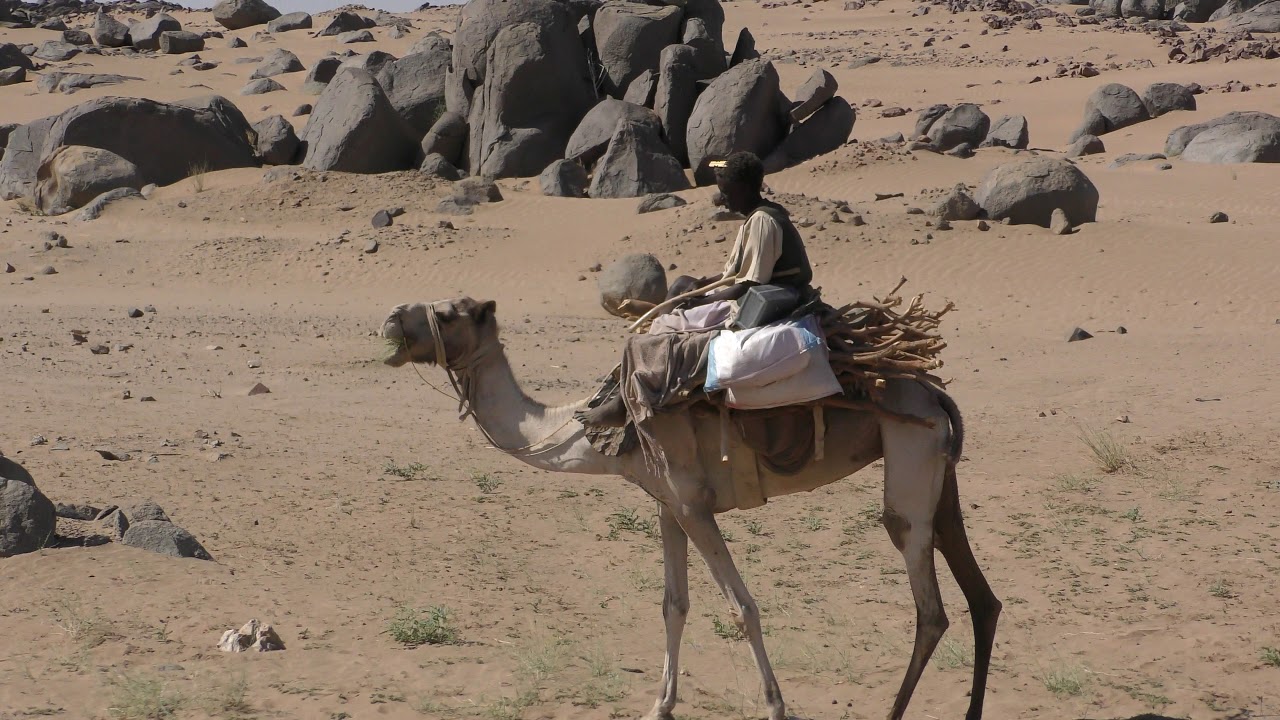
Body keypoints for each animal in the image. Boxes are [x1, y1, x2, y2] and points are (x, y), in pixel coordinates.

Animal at [380, 297, 1001, 720]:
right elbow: (673, 605)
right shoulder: (667, 505)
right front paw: (660, 704)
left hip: (910, 455)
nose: (391, 320)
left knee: (928, 598)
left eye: (448, 313)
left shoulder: (694, 506)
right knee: (980, 595)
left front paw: (775, 706)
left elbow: (742, 607)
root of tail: (936, 394)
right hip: (938, 471)